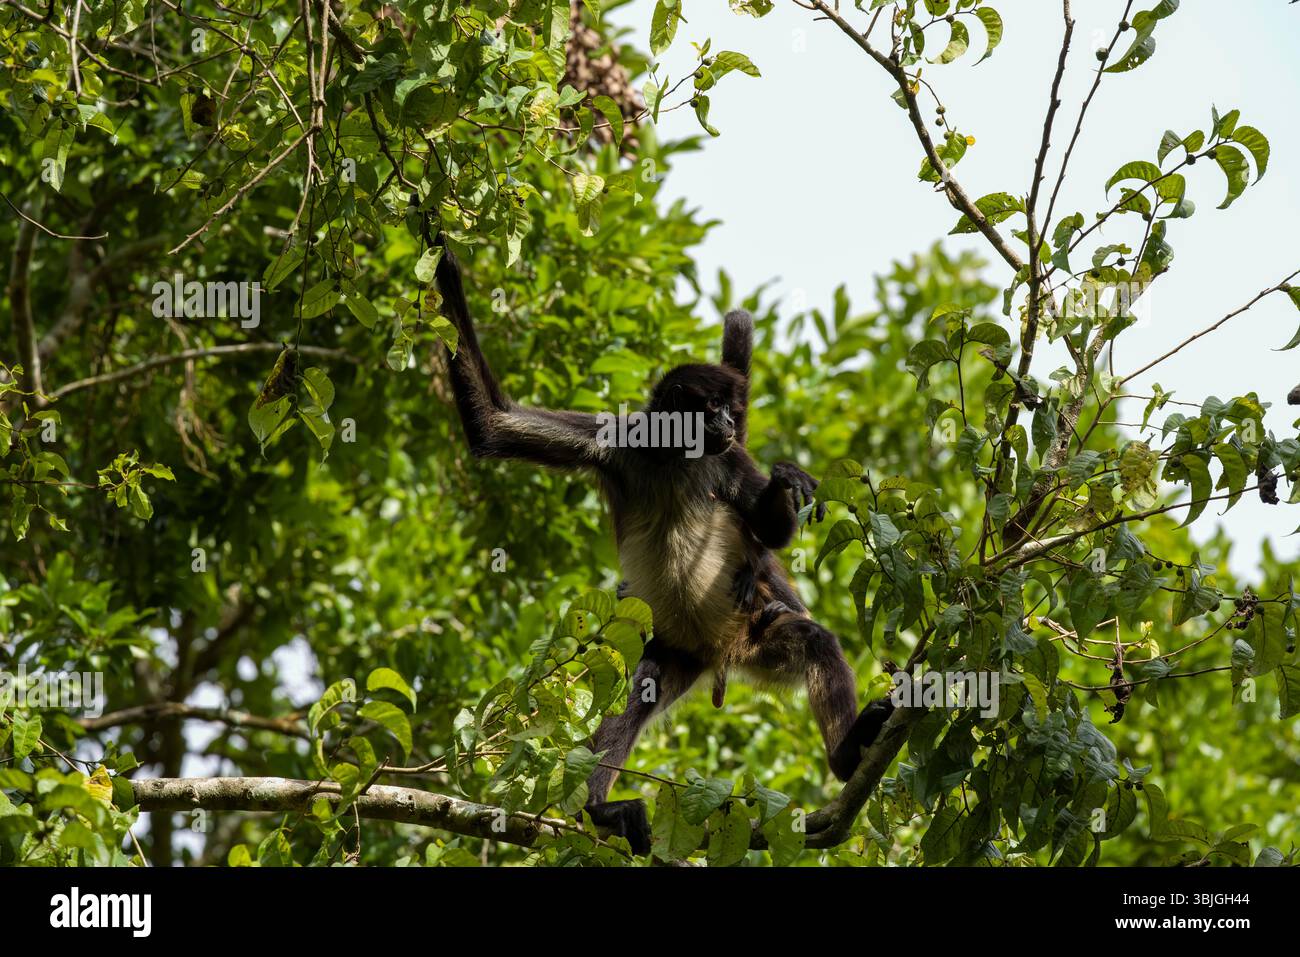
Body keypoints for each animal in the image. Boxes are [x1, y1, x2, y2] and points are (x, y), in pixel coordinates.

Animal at [434, 237, 895, 854]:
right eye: (711, 407)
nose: (728, 421)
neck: (677, 455)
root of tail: (717, 654)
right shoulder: (621, 441)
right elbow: (492, 423)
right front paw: (443, 264)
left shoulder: (727, 459)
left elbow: (771, 533)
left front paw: (785, 482)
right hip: (673, 651)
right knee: (638, 687)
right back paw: (599, 811)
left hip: (752, 635)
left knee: (814, 642)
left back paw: (846, 757)